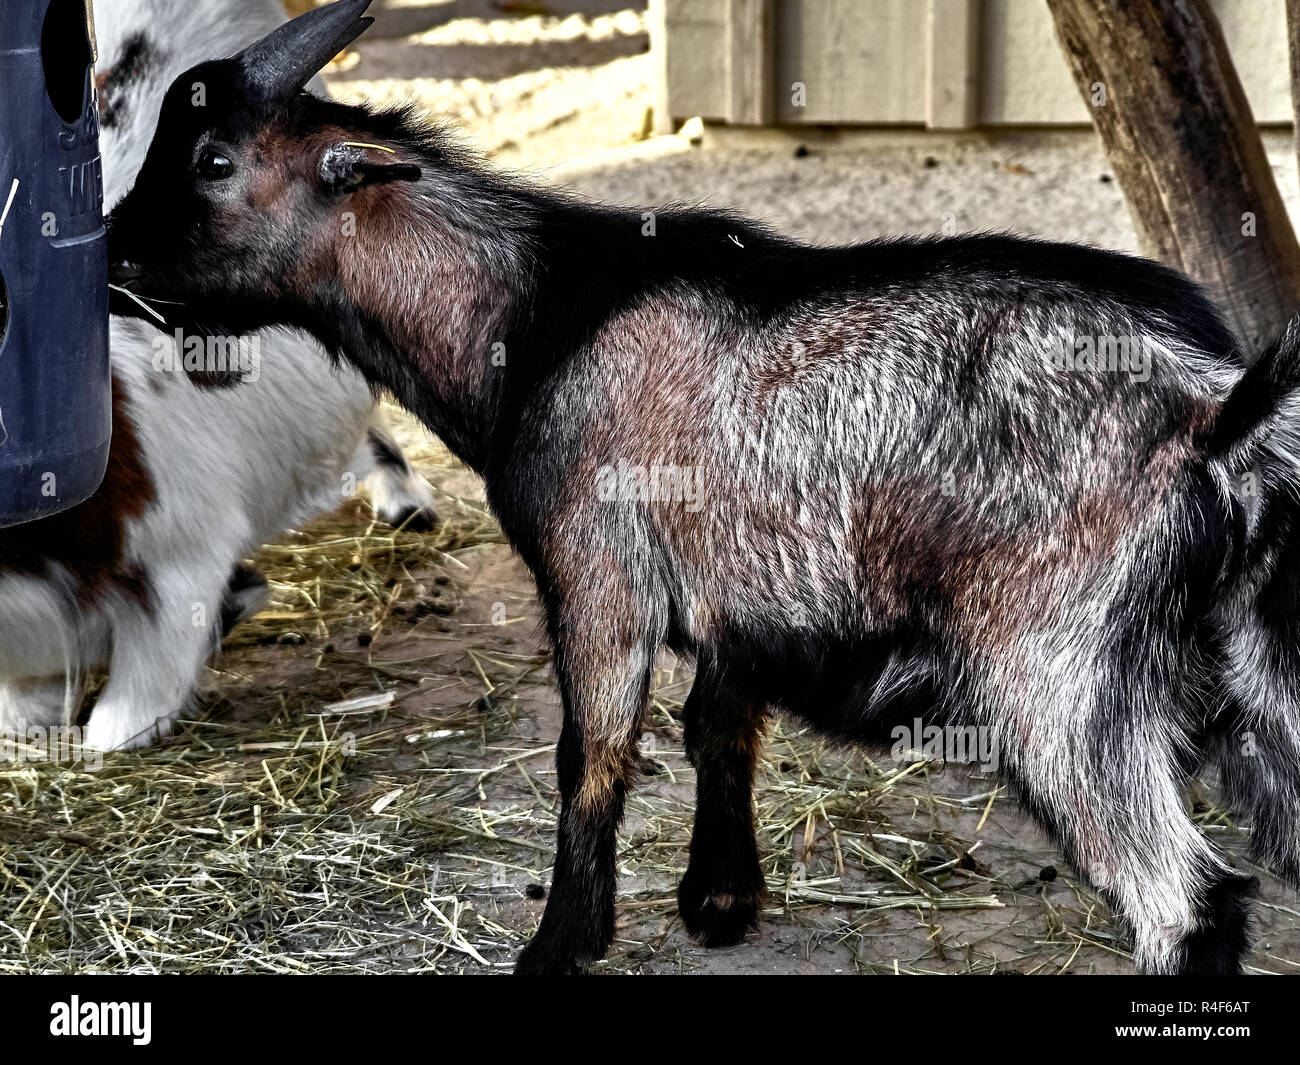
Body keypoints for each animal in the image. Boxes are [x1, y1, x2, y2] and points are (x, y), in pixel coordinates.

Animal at [106, 0, 1300, 974]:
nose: (110, 254)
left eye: (212, 157)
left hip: (1061, 682)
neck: (541, 312)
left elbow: (591, 757)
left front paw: (561, 945)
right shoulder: (738, 596)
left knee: (1187, 904)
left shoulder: (599, 576)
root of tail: (1211, 412)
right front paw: (719, 900)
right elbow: (718, 726)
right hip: (1253, 675)